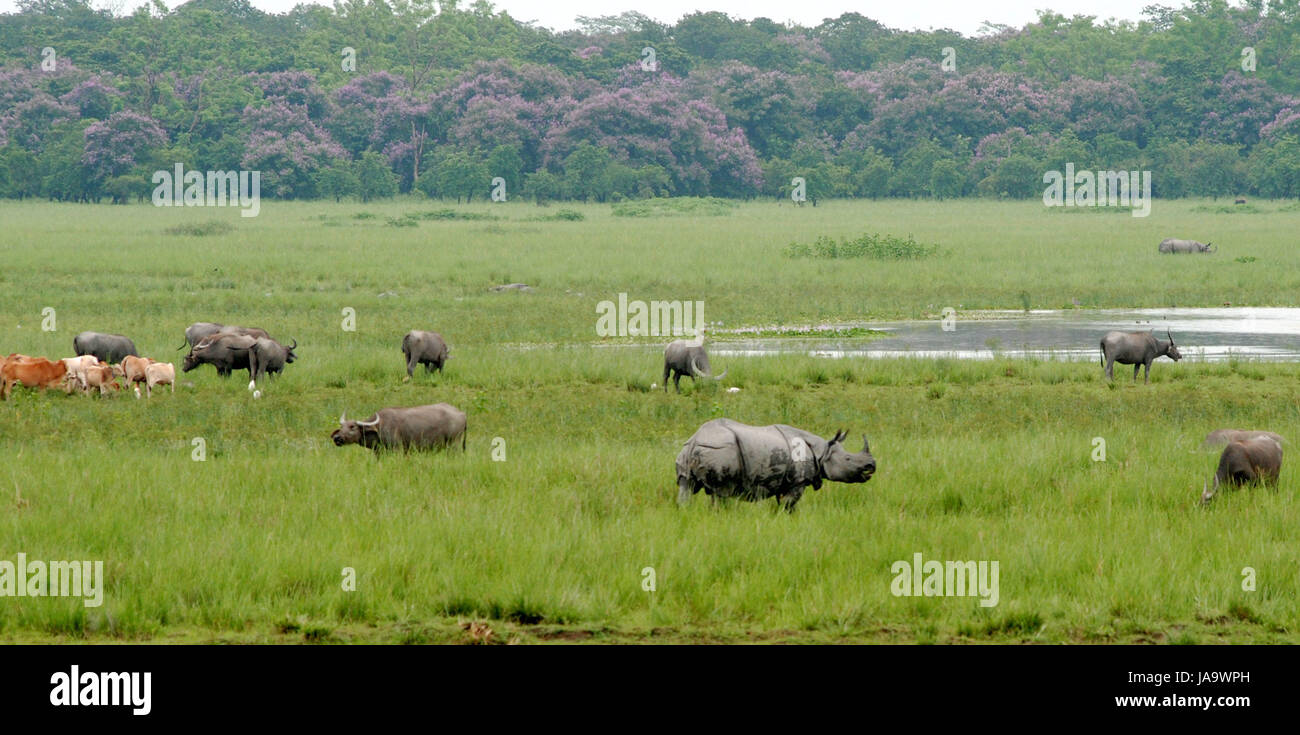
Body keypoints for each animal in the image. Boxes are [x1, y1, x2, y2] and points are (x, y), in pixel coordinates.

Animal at [331, 403, 467, 453]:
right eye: (341, 426)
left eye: (352, 426)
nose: (337, 438)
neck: (379, 427)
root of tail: (462, 413)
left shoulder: (397, 449)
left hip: (454, 444)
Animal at [676, 418, 876, 511]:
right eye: (848, 459)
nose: (872, 466)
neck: (822, 451)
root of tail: (696, 439)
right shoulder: (798, 481)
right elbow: (789, 505)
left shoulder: (785, 482)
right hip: (721, 451)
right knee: (722, 491)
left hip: (688, 451)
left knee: (686, 486)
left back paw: (685, 511)